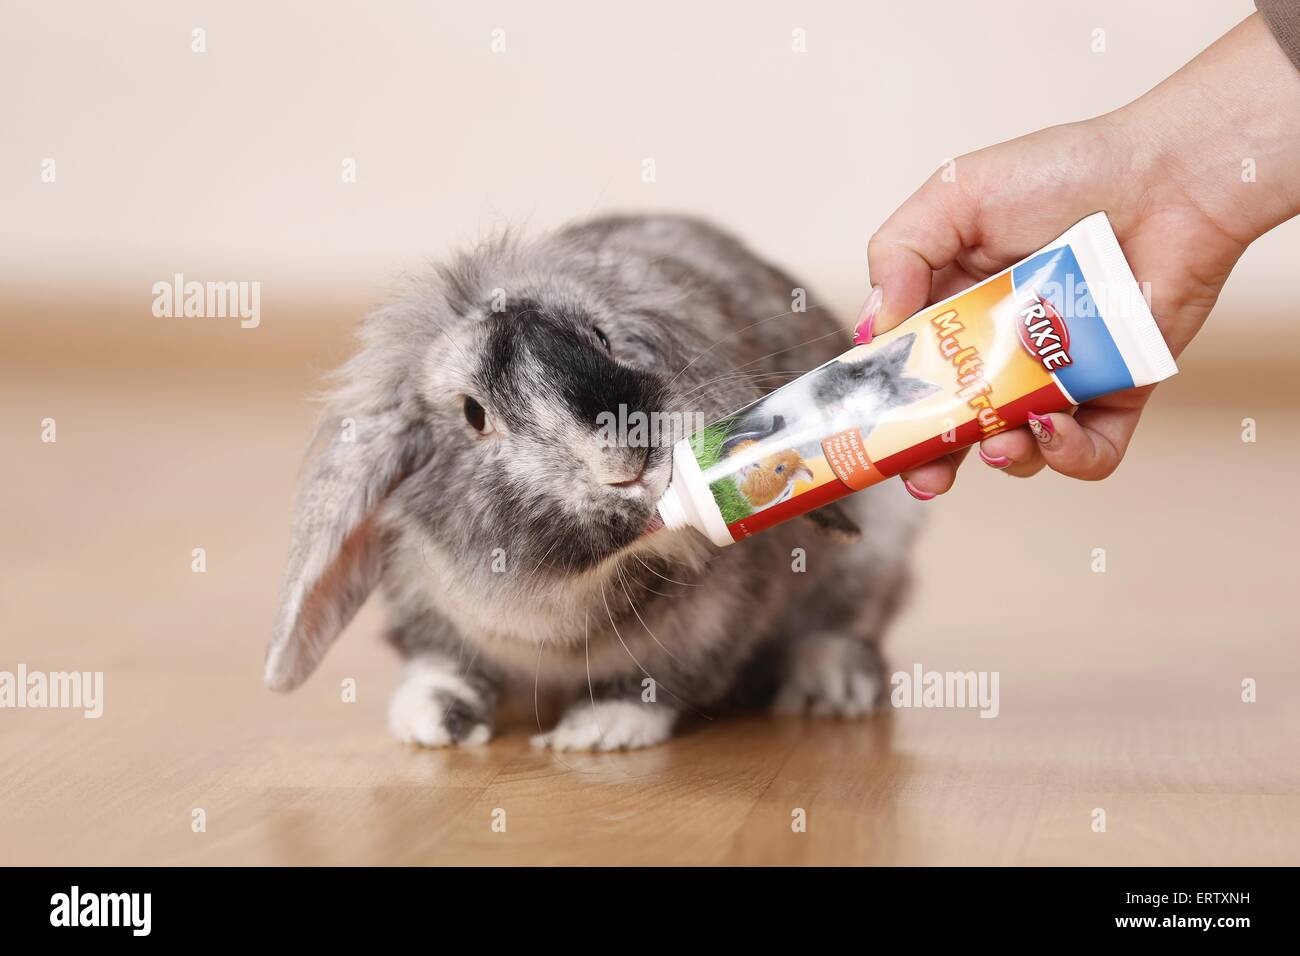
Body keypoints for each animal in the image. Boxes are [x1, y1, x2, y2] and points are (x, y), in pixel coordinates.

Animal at [264, 214, 924, 751]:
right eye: (474, 414)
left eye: (603, 339)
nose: (629, 455)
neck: (570, 597)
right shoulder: (424, 609)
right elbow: (438, 665)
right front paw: (431, 723)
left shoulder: (707, 629)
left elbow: (652, 684)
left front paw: (595, 733)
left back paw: (830, 685)